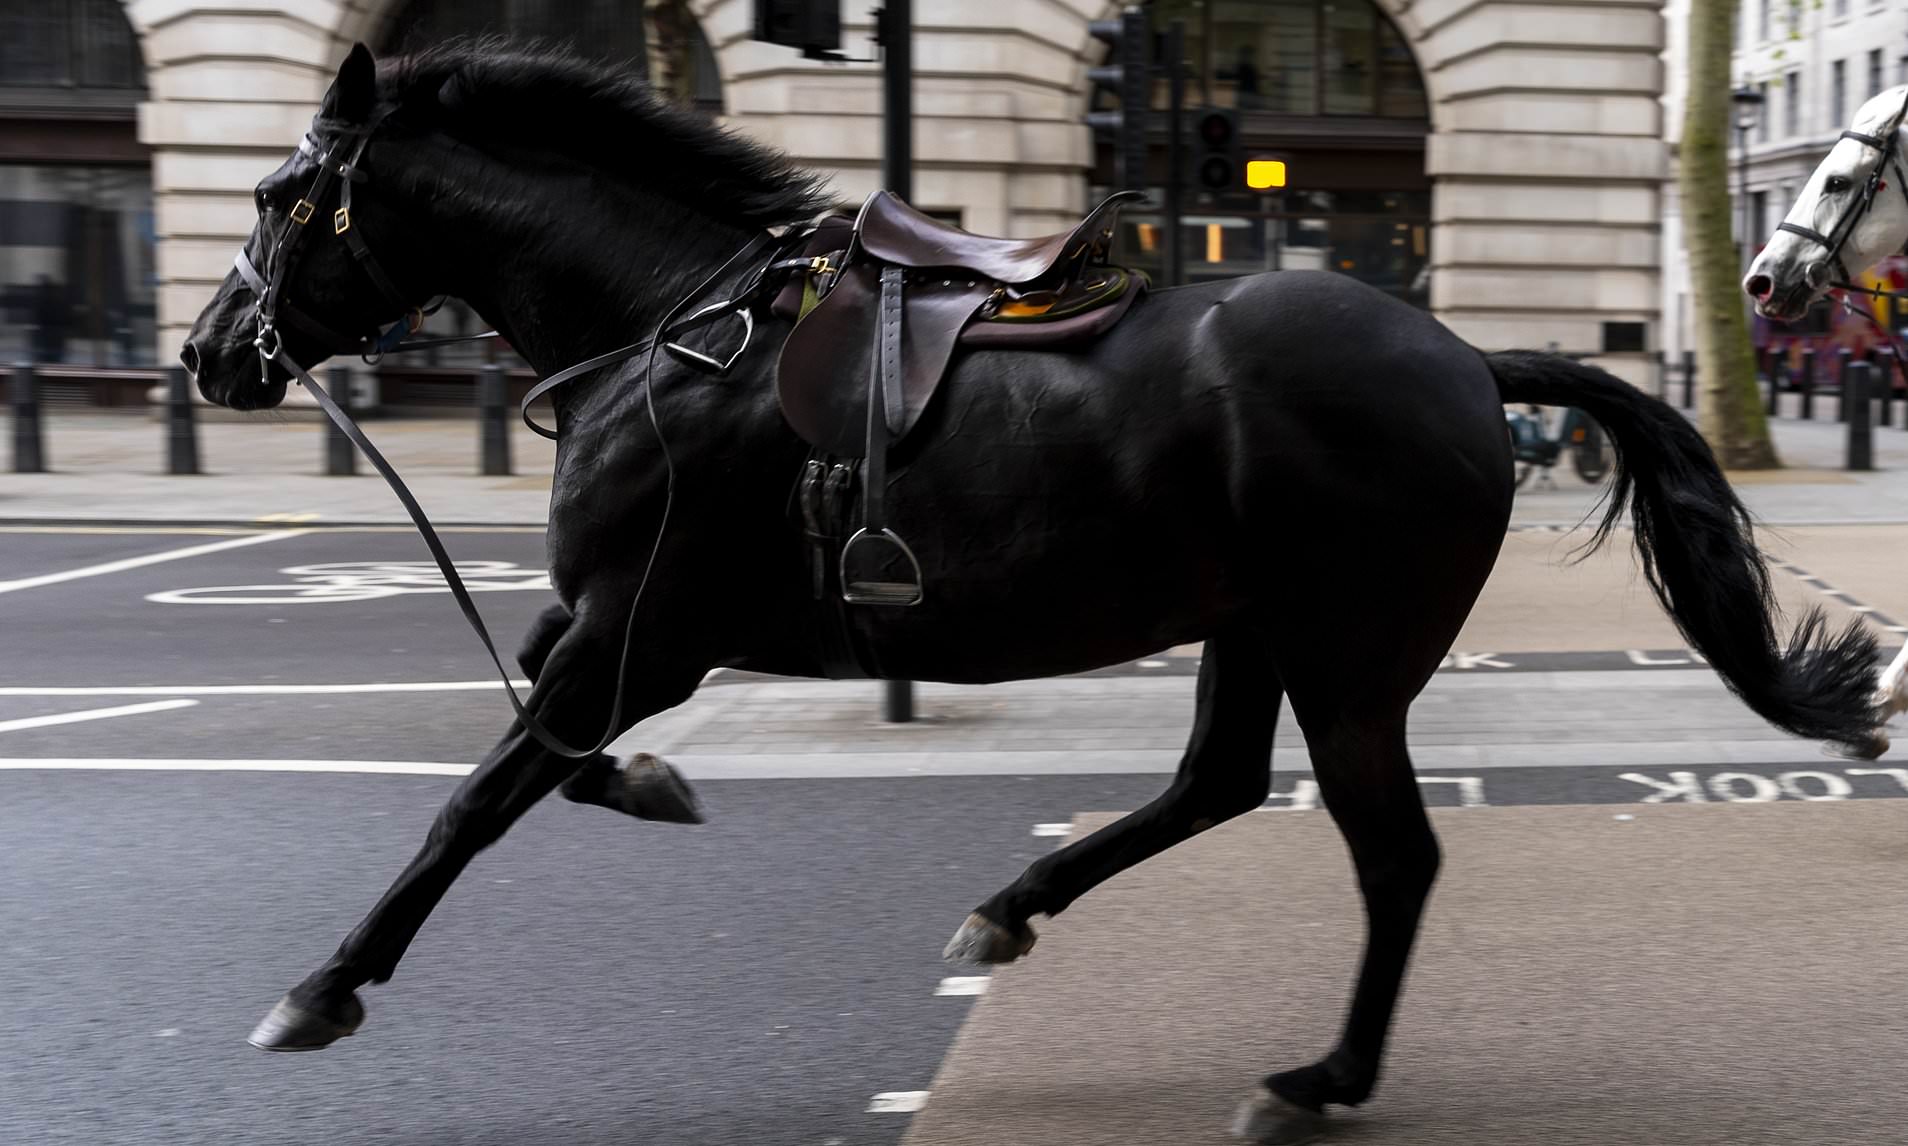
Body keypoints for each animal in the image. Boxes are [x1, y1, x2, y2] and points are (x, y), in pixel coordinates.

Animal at [183, 41, 1881, 1145]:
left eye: (277, 195)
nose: (206, 355)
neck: (674, 328)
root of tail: (1469, 359)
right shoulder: (612, 627)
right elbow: (544, 737)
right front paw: (656, 784)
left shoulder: (643, 628)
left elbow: (479, 795)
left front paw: (324, 984)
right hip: (1256, 625)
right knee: (1215, 783)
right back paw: (1016, 907)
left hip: (1350, 655)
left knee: (1392, 854)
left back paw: (1319, 1077)